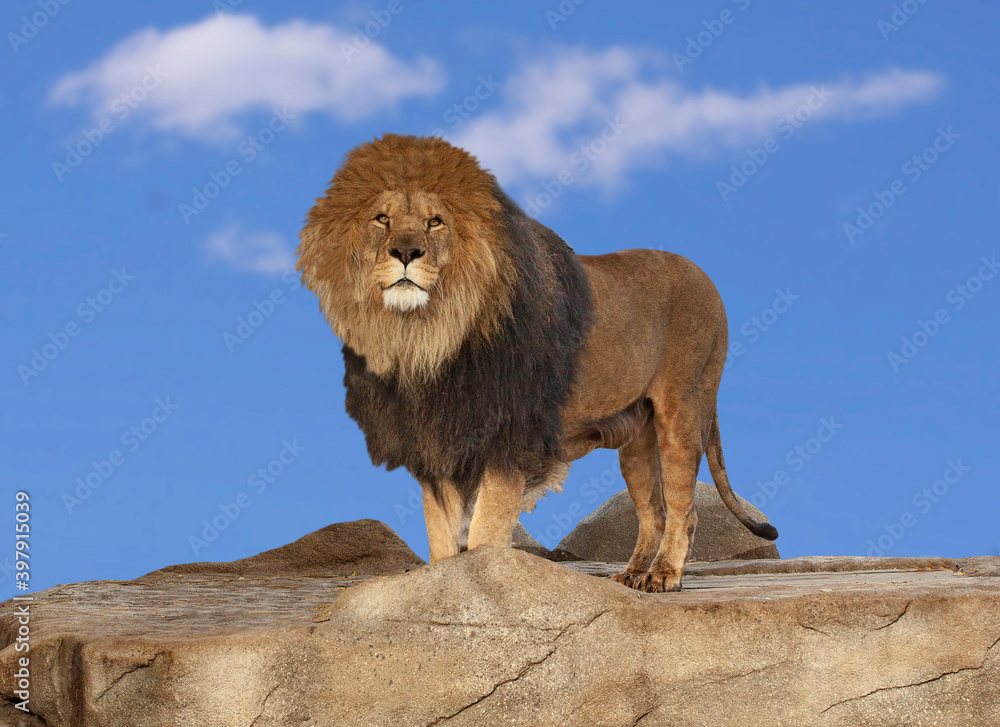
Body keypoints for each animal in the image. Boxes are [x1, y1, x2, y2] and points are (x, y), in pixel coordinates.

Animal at [297, 134, 777, 592]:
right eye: (382, 219)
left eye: (436, 222)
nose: (405, 252)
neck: (426, 337)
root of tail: (704, 274)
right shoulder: (440, 445)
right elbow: (443, 541)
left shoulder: (508, 443)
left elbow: (484, 535)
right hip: (636, 437)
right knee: (654, 510)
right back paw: (634, 574)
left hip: (683, 408)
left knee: (683, 508)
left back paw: (664, 576)